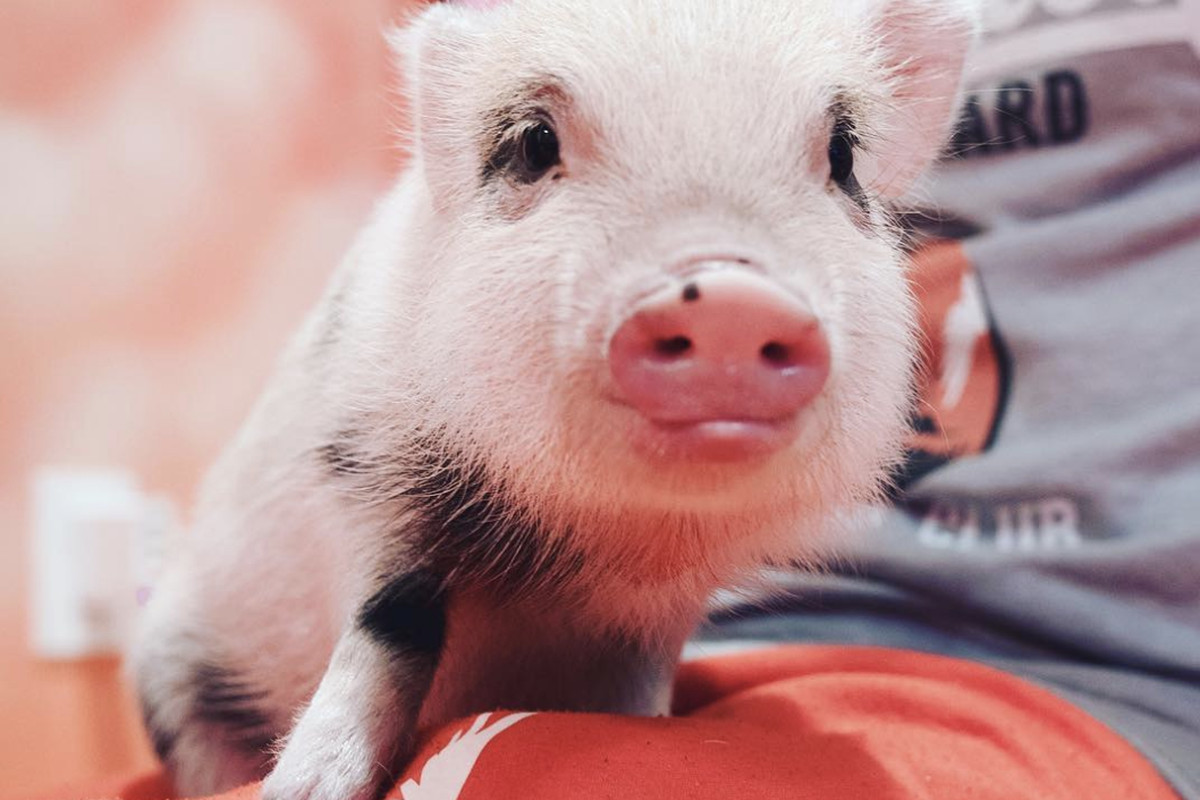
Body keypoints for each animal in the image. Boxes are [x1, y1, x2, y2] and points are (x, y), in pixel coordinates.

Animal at [132, 1, 979, 798]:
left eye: (842, 156)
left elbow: (638, 687)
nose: (728, 299)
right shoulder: (371, 470)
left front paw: (648, 730)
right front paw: (305, 787)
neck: (595, 545)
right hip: (170, 665)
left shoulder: (661, 612)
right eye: (537, 143)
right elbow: (387, 630)